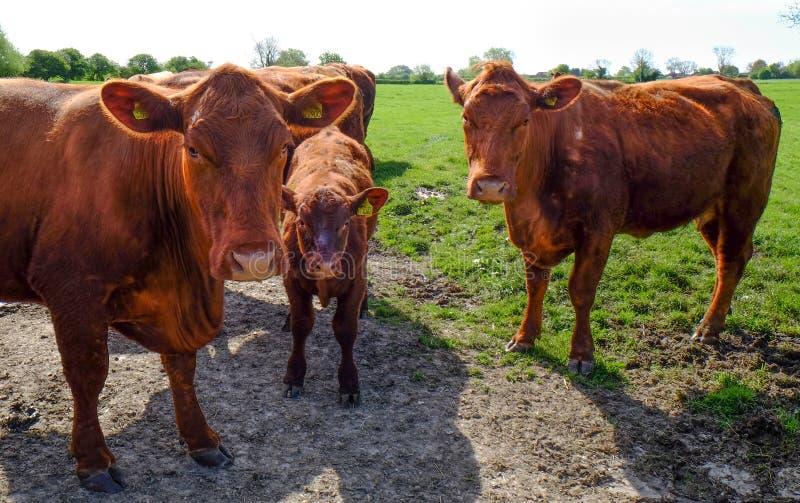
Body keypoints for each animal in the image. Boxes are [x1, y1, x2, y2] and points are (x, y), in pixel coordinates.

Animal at [0, 64, 358, 492]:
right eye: (193, 149)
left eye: (285, 147)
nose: (253, 258)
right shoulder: (72, 291)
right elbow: (88, 375)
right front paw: (92, 460)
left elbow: (183, 368)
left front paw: (201, 439)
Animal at [280, 126, 388, 406]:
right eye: (302, 222)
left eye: (346, 223)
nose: (325, 264)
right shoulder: (291, 279)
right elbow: (301, 324)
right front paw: (294, 376)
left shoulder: (354, 282)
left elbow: (346, 329)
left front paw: (349, 383)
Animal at [445, 61, 781, 375]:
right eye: (466, 119)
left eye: (524, 120)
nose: (490, 186)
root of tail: (744, 86)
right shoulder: (529, 233)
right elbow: (535, 285)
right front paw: (525, 336)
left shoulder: (598, 230)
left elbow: (581, 291)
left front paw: (581, 354)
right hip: (709, 210)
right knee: (728, 259)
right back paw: (719, 316)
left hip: (743, 203)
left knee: (730, 259)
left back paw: (708, 327)